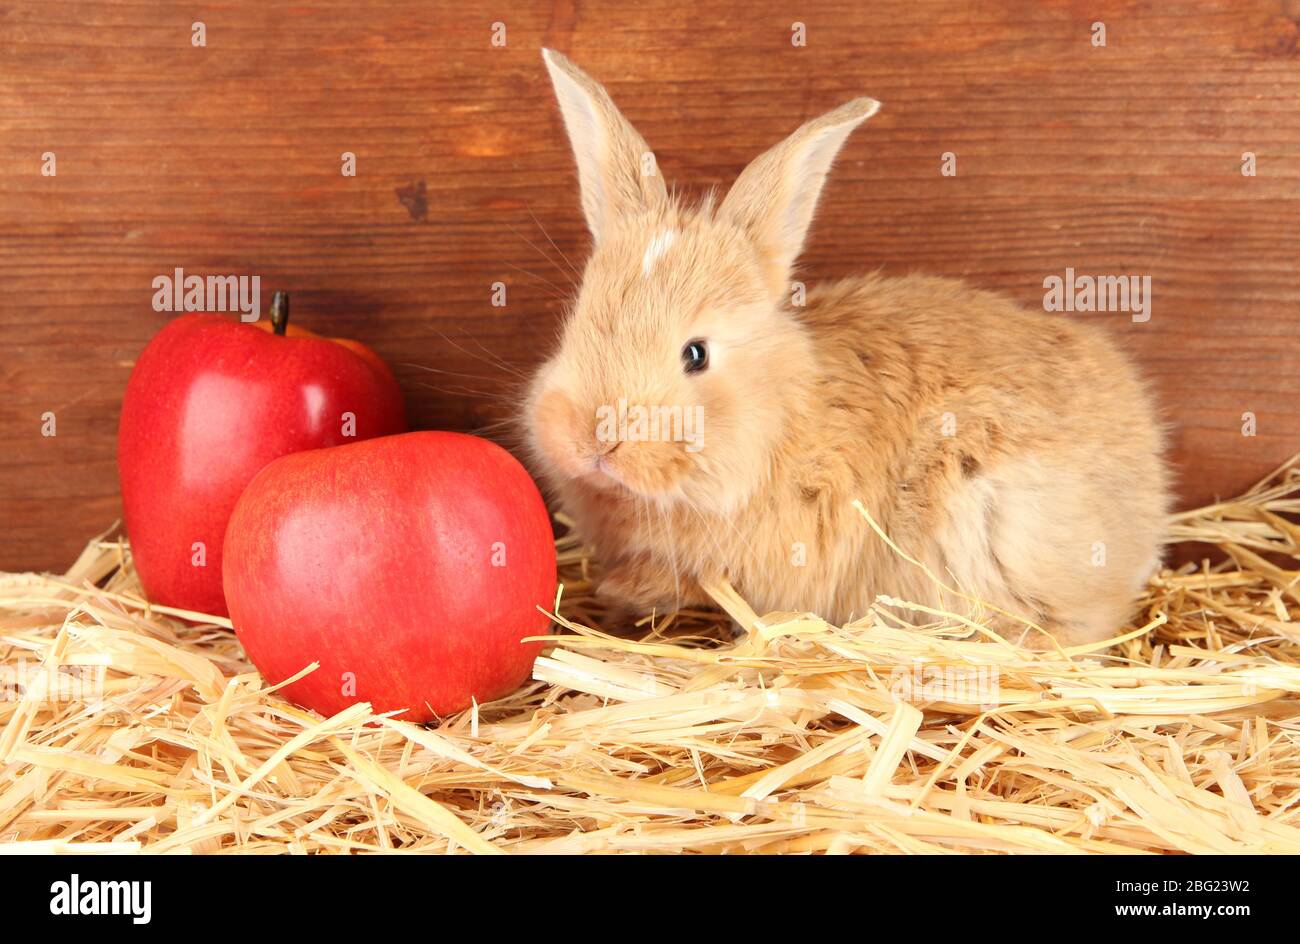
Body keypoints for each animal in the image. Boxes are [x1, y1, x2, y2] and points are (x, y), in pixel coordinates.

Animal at [524, 48, 1170, 647]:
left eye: (696, 354)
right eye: (577, 320)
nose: (594, 440)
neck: (781, 423)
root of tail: (1149, 499)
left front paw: (626, 590)